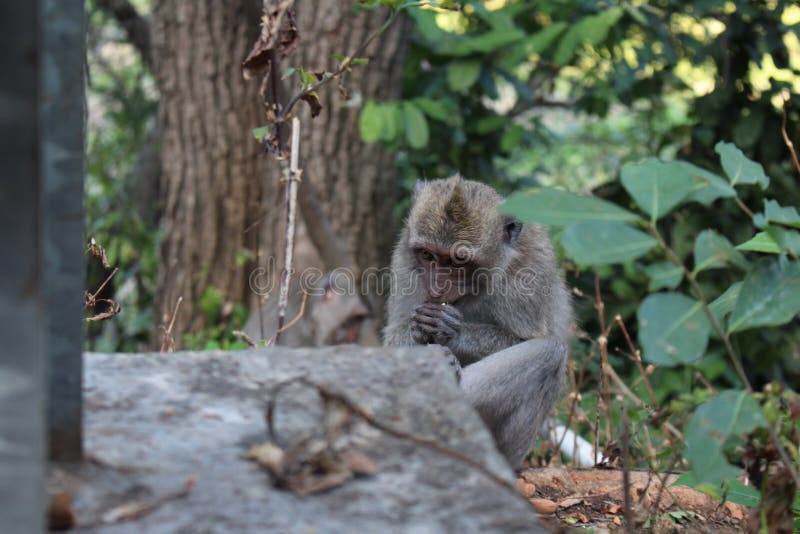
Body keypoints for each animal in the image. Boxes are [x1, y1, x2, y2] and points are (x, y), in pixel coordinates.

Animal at [383, 175, 572, 469]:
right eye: (428, 255)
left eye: (458, 260)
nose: (437, 286)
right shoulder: (404, 258)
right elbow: (391, 341)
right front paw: (417, 331)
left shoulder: (529, 271)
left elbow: (532, 338)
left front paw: (452, 330)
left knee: (550, 353)